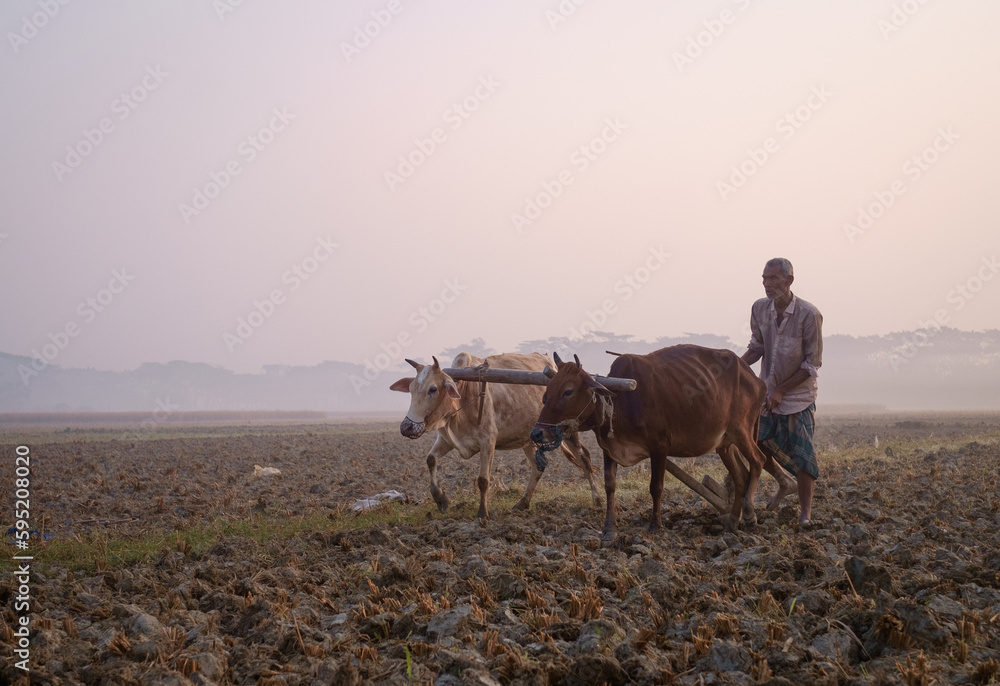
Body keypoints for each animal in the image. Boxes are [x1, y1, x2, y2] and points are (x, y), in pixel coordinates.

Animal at [390, 352, 602, 519]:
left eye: (433, 389)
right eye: (410, 389)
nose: (407, 427)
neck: (465, 392)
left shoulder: (488, 442)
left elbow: (483, 480)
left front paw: (482, 514)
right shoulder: (446, 439)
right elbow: (431, 460)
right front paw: (441, 499)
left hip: (569, 431)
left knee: (584, 459)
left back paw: (597, 500)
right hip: (528, 438)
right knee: (538, 468)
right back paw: (523, 503)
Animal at [530, 345, 766, 539]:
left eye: (568, 391)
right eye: (547, 391)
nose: (537, 433)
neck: (621, 403)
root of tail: (756, 379)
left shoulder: (659, 448)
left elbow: (656, 487)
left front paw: (655, 525)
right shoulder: (609, 449)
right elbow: (610, 486)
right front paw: (609, 528)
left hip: (742, 431)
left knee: (758, 461)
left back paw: (749, 513)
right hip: (725, 444)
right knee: (740, 477)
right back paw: (733, 523)